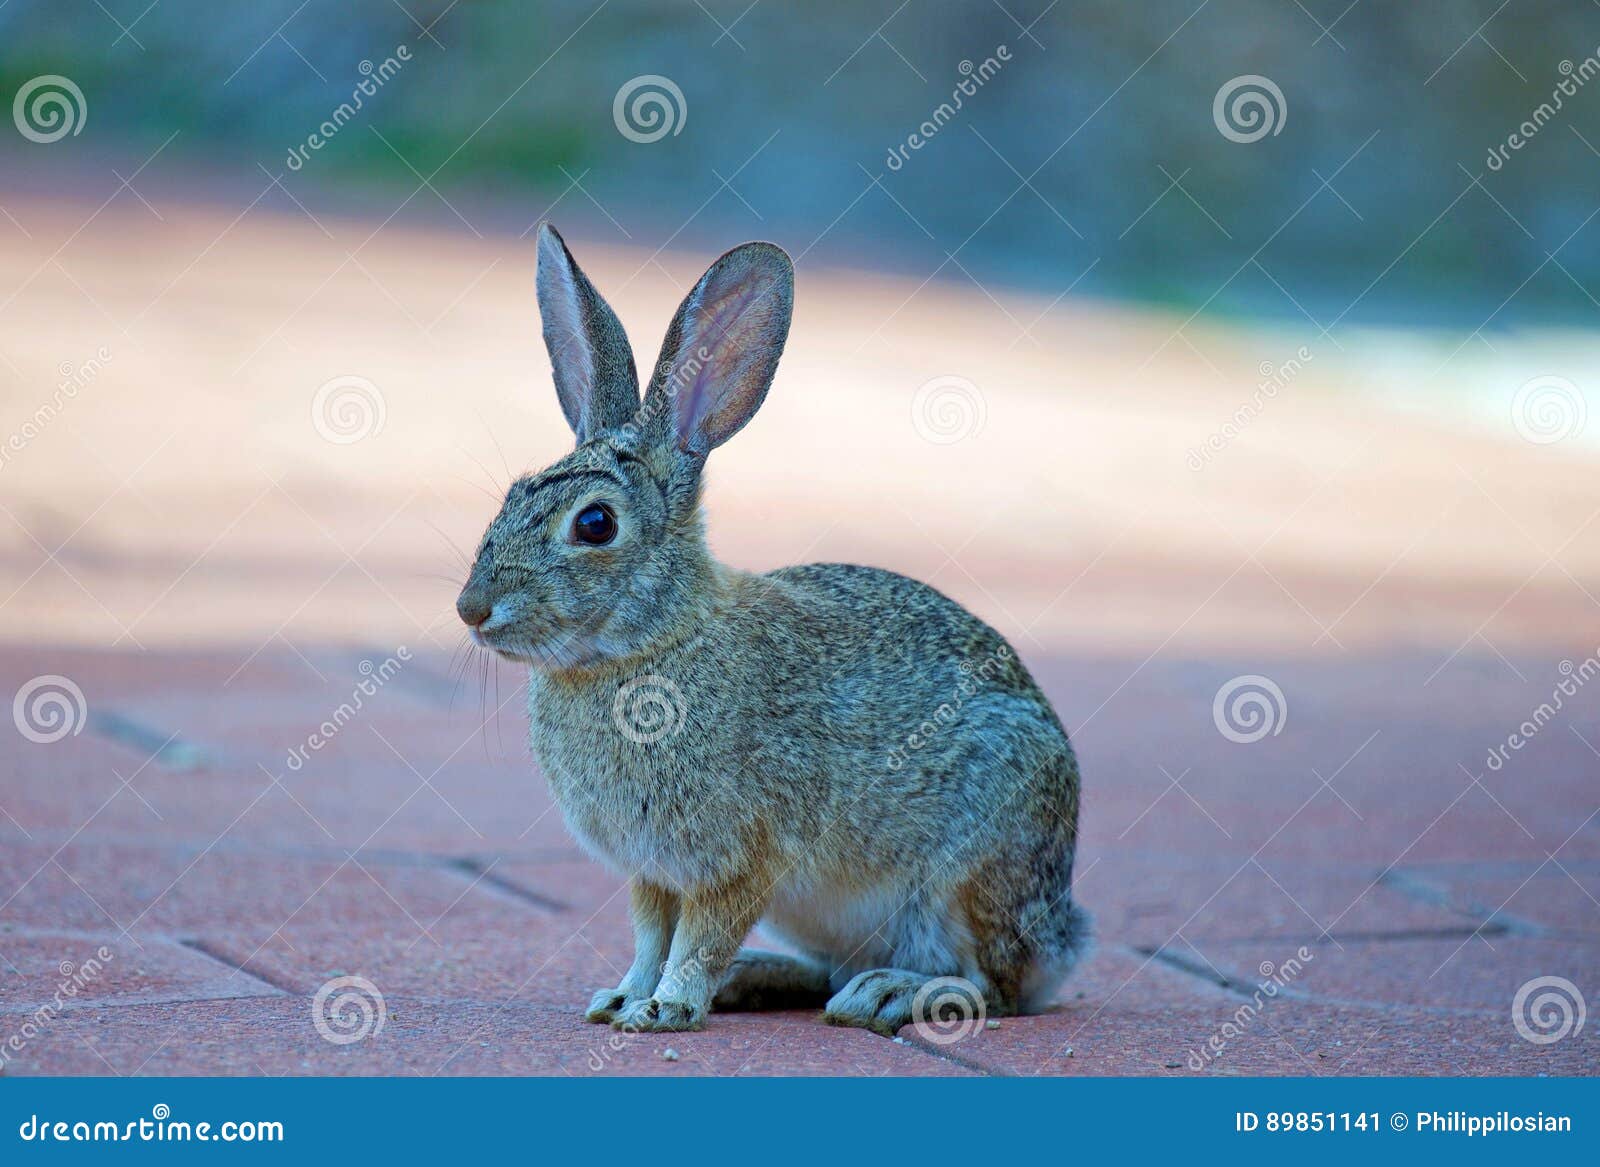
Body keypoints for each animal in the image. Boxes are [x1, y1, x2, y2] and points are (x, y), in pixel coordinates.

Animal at [455, 222, 1089, 1035]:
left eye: (594, 524)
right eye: (512, 495)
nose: (473, 608)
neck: (651, 643)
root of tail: (1063, 940)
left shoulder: (742, 858)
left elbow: (700, 935)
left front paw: (667, 1008)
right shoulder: (652, 870)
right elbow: (650, 933)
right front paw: (623, 998)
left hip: (970, 868)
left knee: (992, 985)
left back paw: (888, 993)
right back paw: (760, 978)